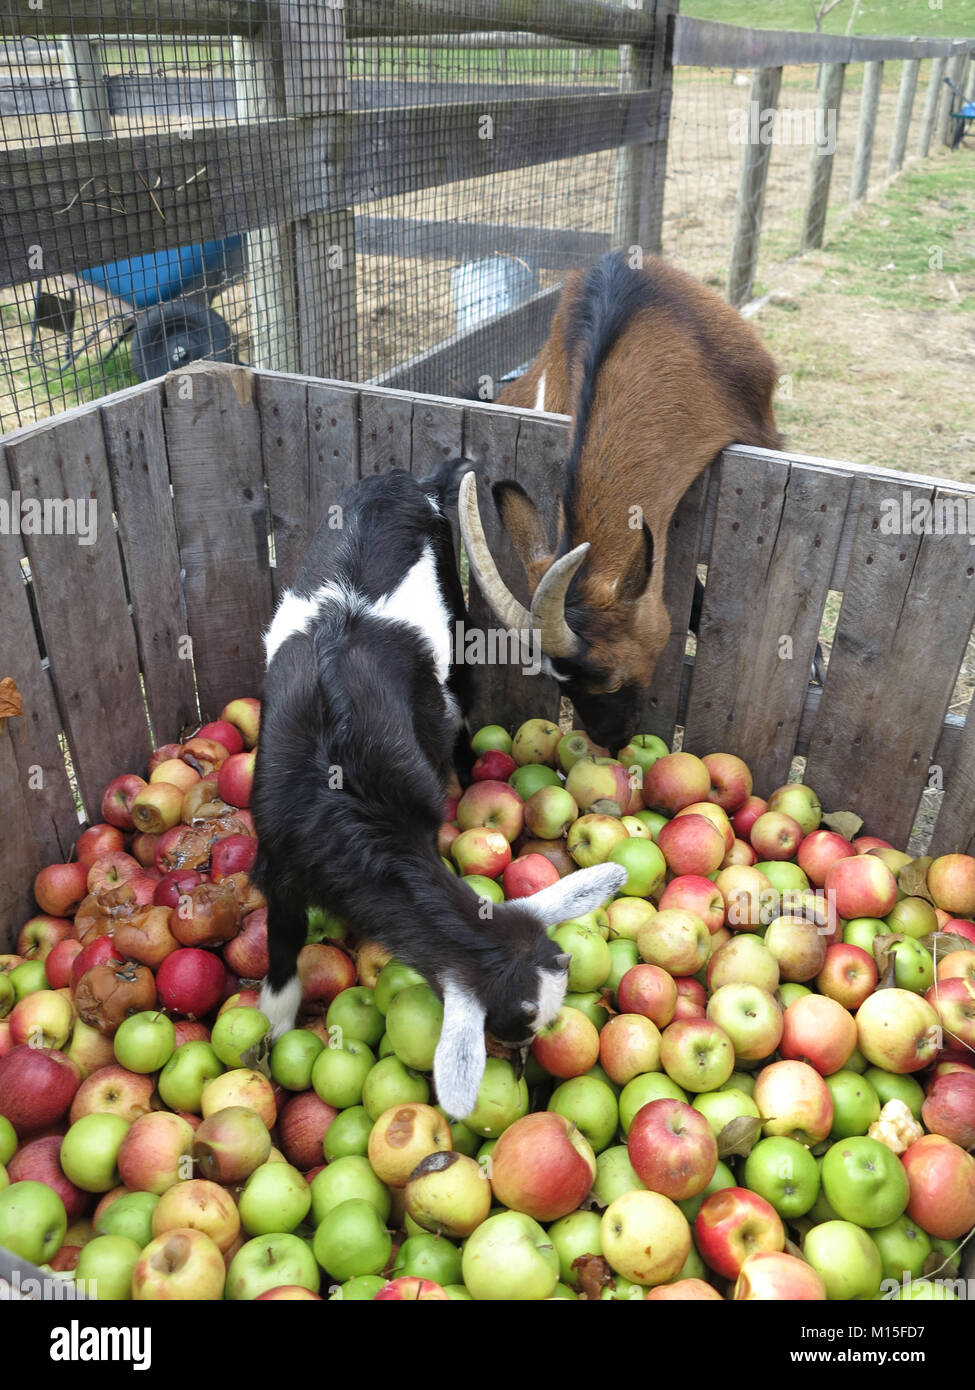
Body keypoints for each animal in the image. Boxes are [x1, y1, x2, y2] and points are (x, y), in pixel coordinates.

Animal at [251, 462, 626, 1118]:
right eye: (515, 1025)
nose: (524, 1069)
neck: (349, 811)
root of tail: (409, 479)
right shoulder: (279, 866)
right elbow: (281, 976)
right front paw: (272, 1041)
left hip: (457, 623)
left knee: (463, 706)